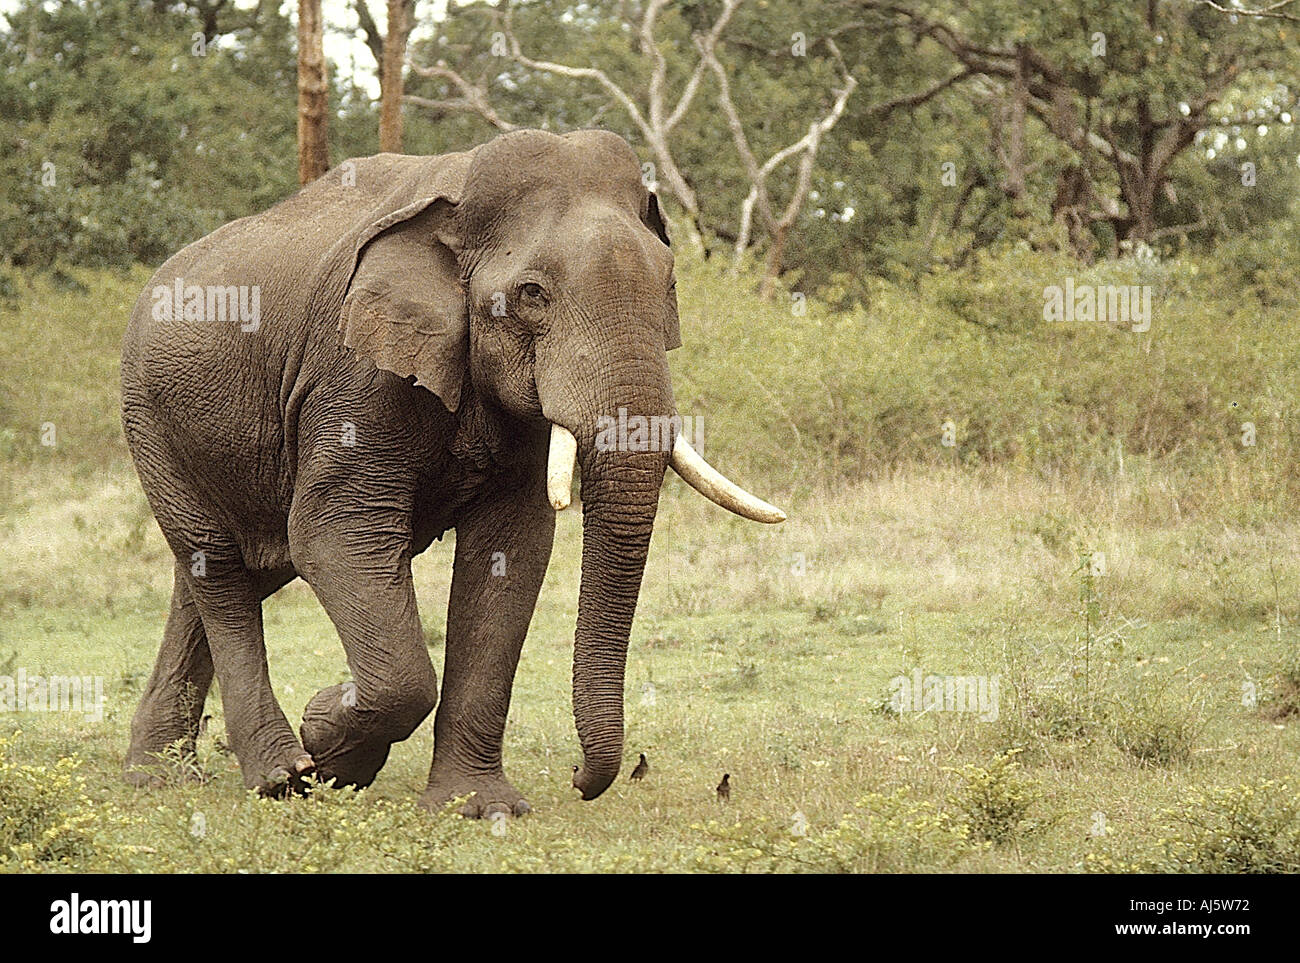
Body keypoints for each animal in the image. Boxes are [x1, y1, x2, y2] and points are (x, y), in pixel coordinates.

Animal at [119, 128, 784, 816]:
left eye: (669, 284)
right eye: (531, 295)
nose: (578, 777)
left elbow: (511, 549)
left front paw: (481, 808)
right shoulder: (354, 374)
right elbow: (336, 536)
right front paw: (328, 736)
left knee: (229, 572)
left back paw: (159, 775)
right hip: (150, 418)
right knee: (220, 568)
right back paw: (277, 776)